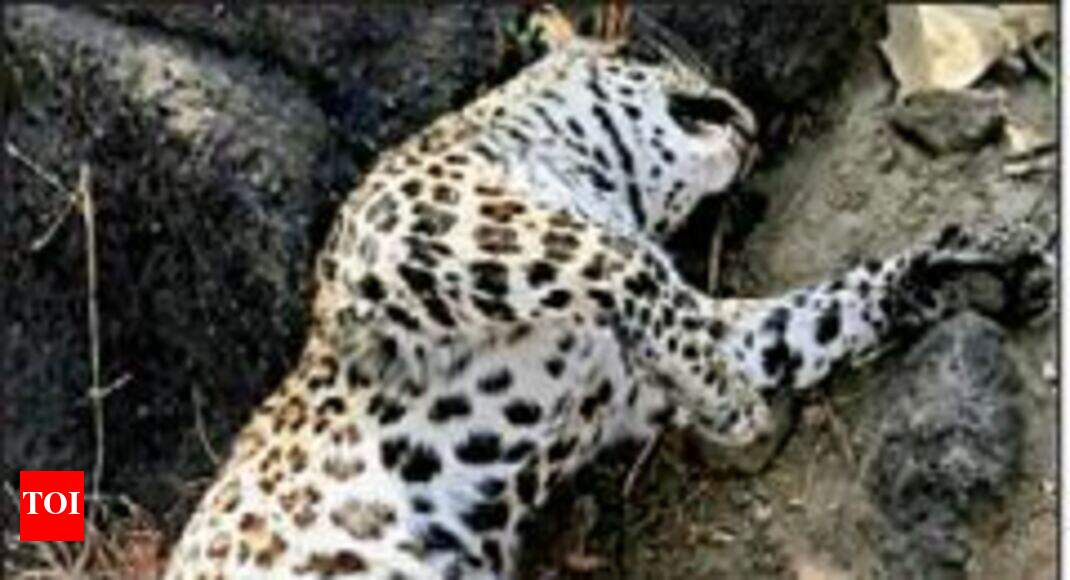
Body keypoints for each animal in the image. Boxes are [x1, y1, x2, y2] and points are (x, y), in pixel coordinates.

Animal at [165, 6, 1054, 579]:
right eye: (653, 58)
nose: (750, 115)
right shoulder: (415, 222)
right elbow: (620, 258)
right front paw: (726, 399)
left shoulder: (635, 375)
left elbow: (816, 311)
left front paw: (973, 270)